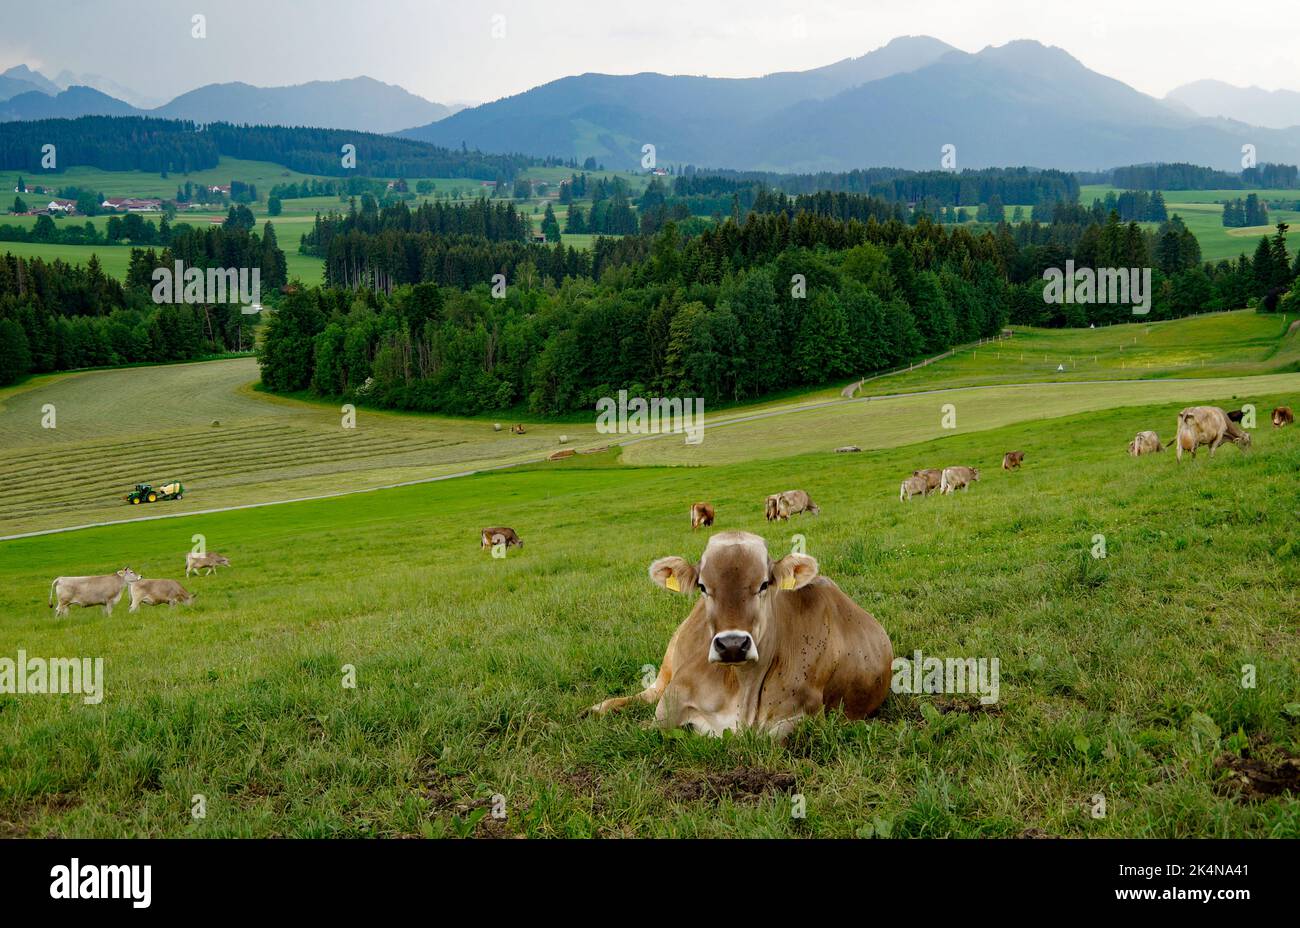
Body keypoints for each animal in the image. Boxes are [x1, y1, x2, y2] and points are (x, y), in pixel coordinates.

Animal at [585, 531, 893, 739]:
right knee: (648, 692)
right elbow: (646, 727)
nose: (732, 644)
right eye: (702, 586)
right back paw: (596, 708)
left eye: (764, 584)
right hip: (669, 661)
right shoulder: (672, 698)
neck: (741, 688)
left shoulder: (800, 716)